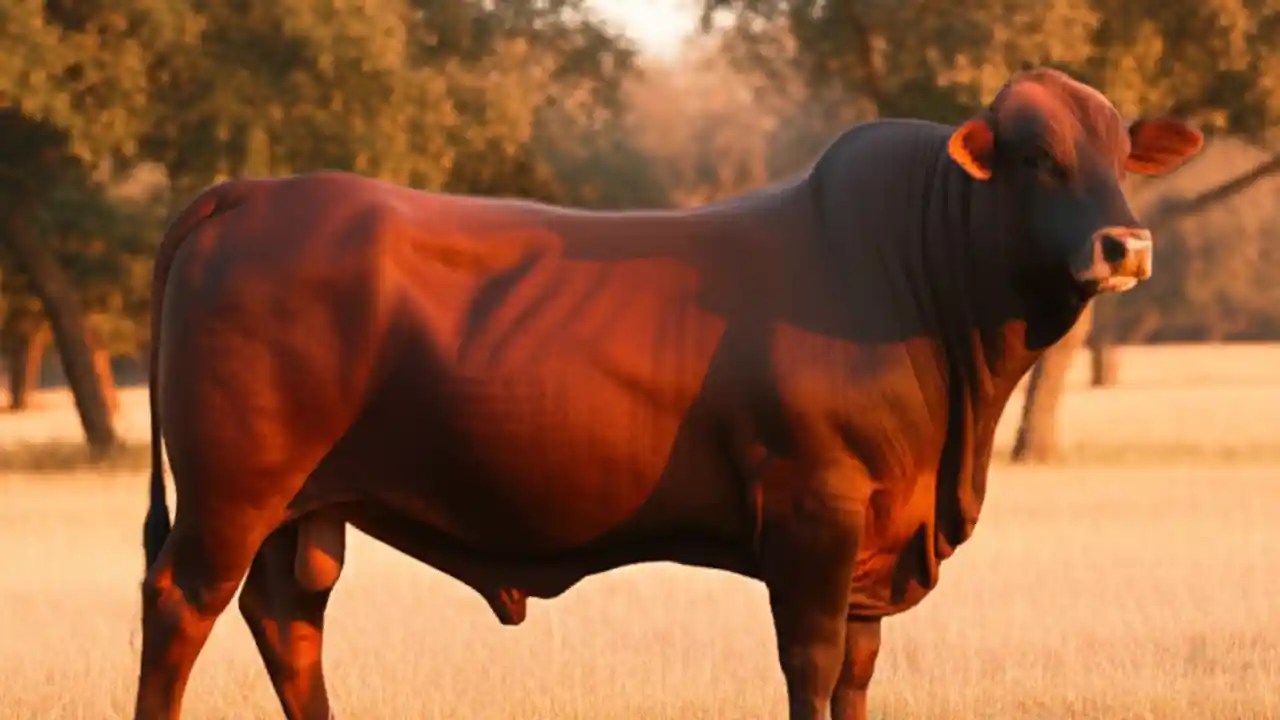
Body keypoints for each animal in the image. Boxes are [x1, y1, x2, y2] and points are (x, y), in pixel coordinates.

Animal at [133, 67, 1202, 720]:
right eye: (1037, 156)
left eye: (1119, 154)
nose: (1126, 245)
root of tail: (255, 191)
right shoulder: (816, 512)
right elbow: (811, 667)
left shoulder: (877, 536)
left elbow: (855, 677)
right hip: (232, 495)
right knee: (182, 607)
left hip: (301, 508)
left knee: (288, 618)